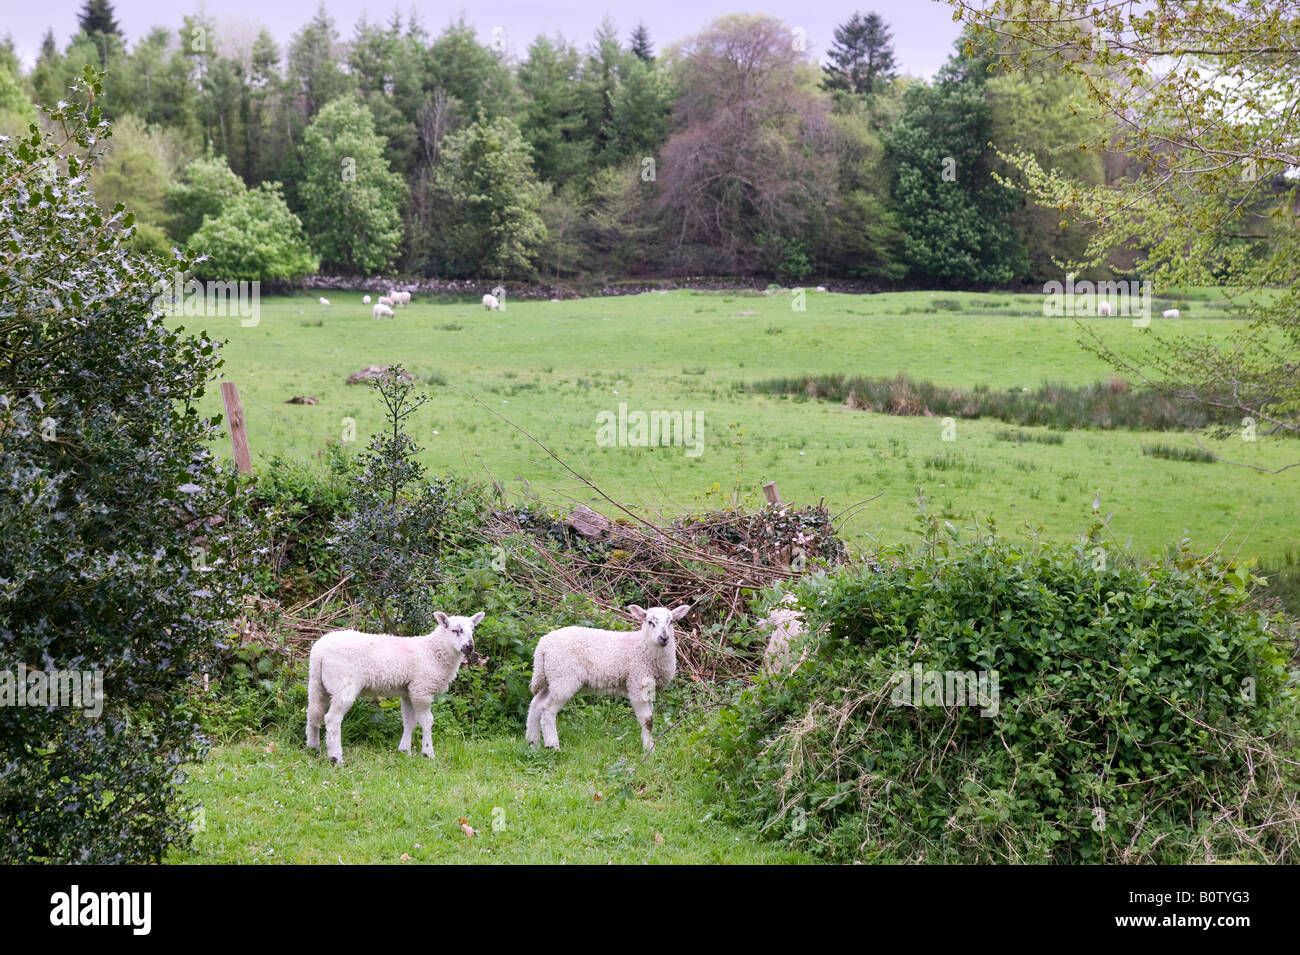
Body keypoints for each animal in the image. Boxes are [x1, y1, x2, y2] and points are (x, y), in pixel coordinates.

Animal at [306, 611, 485, 764]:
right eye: (456, 630)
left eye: (473, 629)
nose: (470, 647)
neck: (434, 651)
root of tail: (319, 652)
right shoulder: (422, 689)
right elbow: (427, 721)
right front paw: (428, 752)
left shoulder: (408, 691)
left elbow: (409, 721)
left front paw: (404, 751)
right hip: (343, 683)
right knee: (332, 719)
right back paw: (336, 758)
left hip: (317, 683)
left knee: (313, 713)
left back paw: (314, 748)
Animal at [526, 604, 690, 752]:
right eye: (650, 622)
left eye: (671, 621)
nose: (664, 637)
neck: (642, 646)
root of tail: (543, 645)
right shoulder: (638, 683)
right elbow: (647, 720)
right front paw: (649, 750)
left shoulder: (648, 688)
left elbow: (650, 718)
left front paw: (648, 744)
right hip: (563, 677)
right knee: (547, 709)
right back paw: (552, 745)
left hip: (550, 678)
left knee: (536, 705)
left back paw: (533, 743)